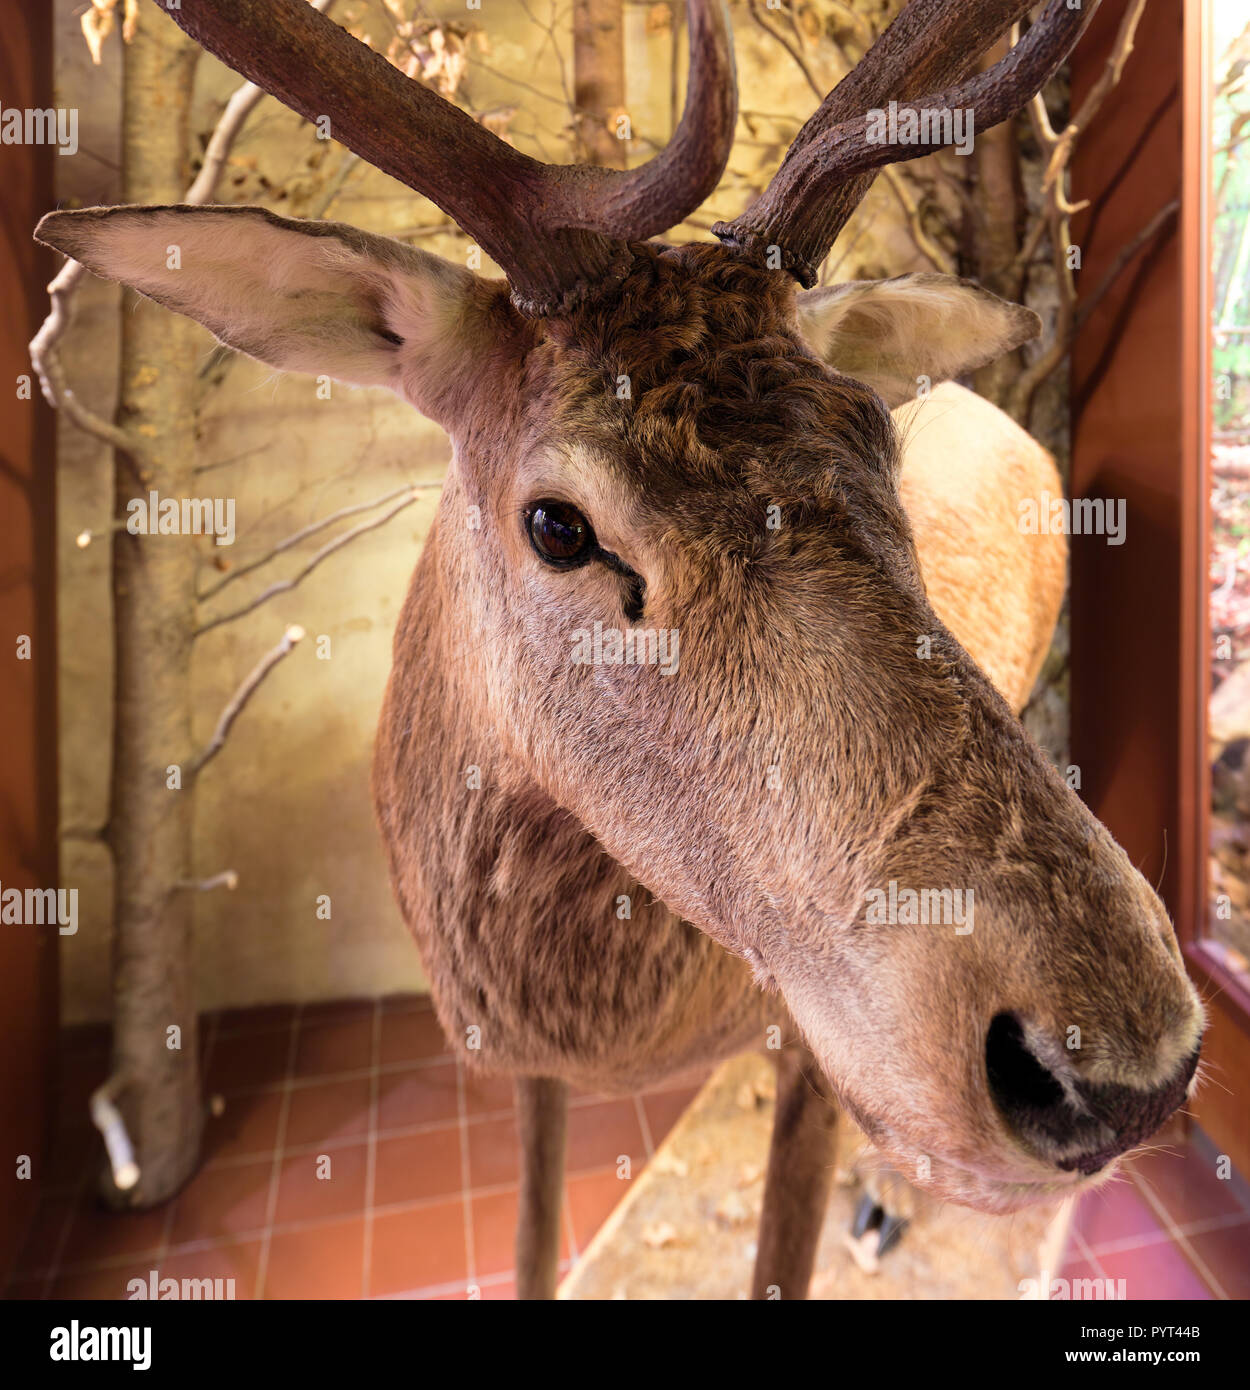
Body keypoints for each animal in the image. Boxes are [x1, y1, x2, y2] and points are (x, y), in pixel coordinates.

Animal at [37, 0, 1204, 1300]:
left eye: (878, 441)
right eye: (557, 523)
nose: (1117, 1061)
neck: (583, 1019)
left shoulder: (818, 1056)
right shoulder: (524, 1067)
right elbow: (532, 1237)